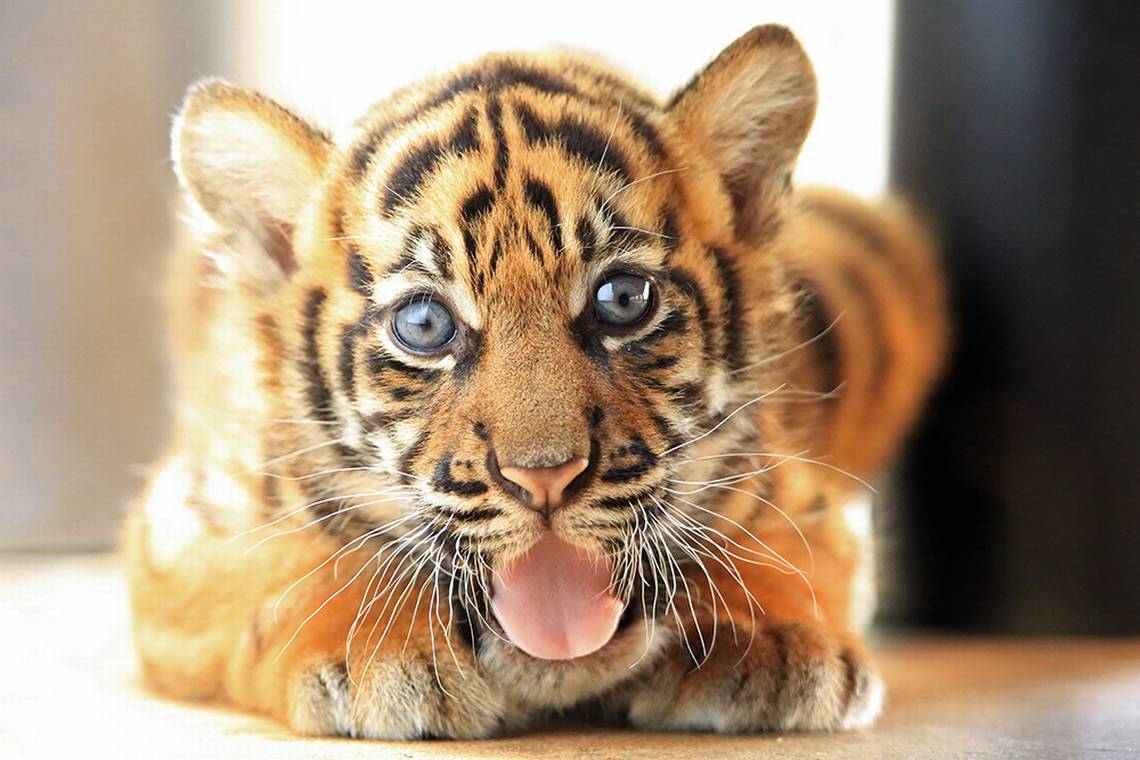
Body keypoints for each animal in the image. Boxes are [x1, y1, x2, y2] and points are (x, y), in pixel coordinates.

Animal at [124, 25, 947, 739]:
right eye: (424, 323)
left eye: (623, 299)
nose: (544, 477)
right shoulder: (190, 520)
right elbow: (302, 564)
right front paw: (380, 654)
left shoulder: (794, 488)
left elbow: (776, 542)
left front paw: (766, 639)